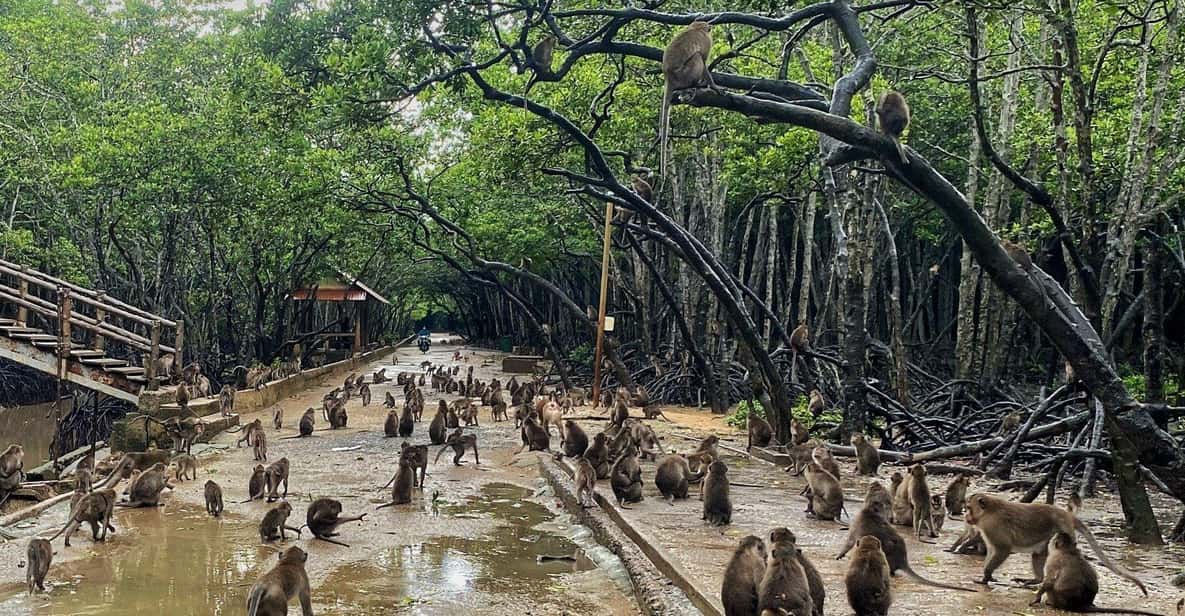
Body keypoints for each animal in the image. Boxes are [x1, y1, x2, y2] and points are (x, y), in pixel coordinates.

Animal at [659, 22, 714, 176]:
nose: (711, 27)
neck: (696, 28)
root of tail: (669, 77)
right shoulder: (706, 41)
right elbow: (704, 61)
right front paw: (715, 87)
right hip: (685, 75)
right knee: (697, 57)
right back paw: (696, 84)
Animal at [836, 481, 976, 592]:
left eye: (875, 490)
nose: (875, 483)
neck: (871, 511)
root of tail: (902, 561)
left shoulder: (857, 524)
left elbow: (850, 542)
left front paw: (840, 555)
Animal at [964, 493, 1147, 594]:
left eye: (968, 508)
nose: (965, 516)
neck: (988, 512)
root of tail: (1068, 515)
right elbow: (993, 550)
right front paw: (987, 576)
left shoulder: (993, 526)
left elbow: (1003, 549)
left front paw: (986, 576)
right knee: (1038, 553)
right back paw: (1036, 579)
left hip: (1063, 530)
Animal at [1031, 532, 1163, 615]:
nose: (1050, 540)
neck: (1068, 550)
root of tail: (1081, 604)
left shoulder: (1052, 560)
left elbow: (1049, 580)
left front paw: (1037, 598)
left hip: (1058, 599)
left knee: (1051, 587)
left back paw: (1051, 603)